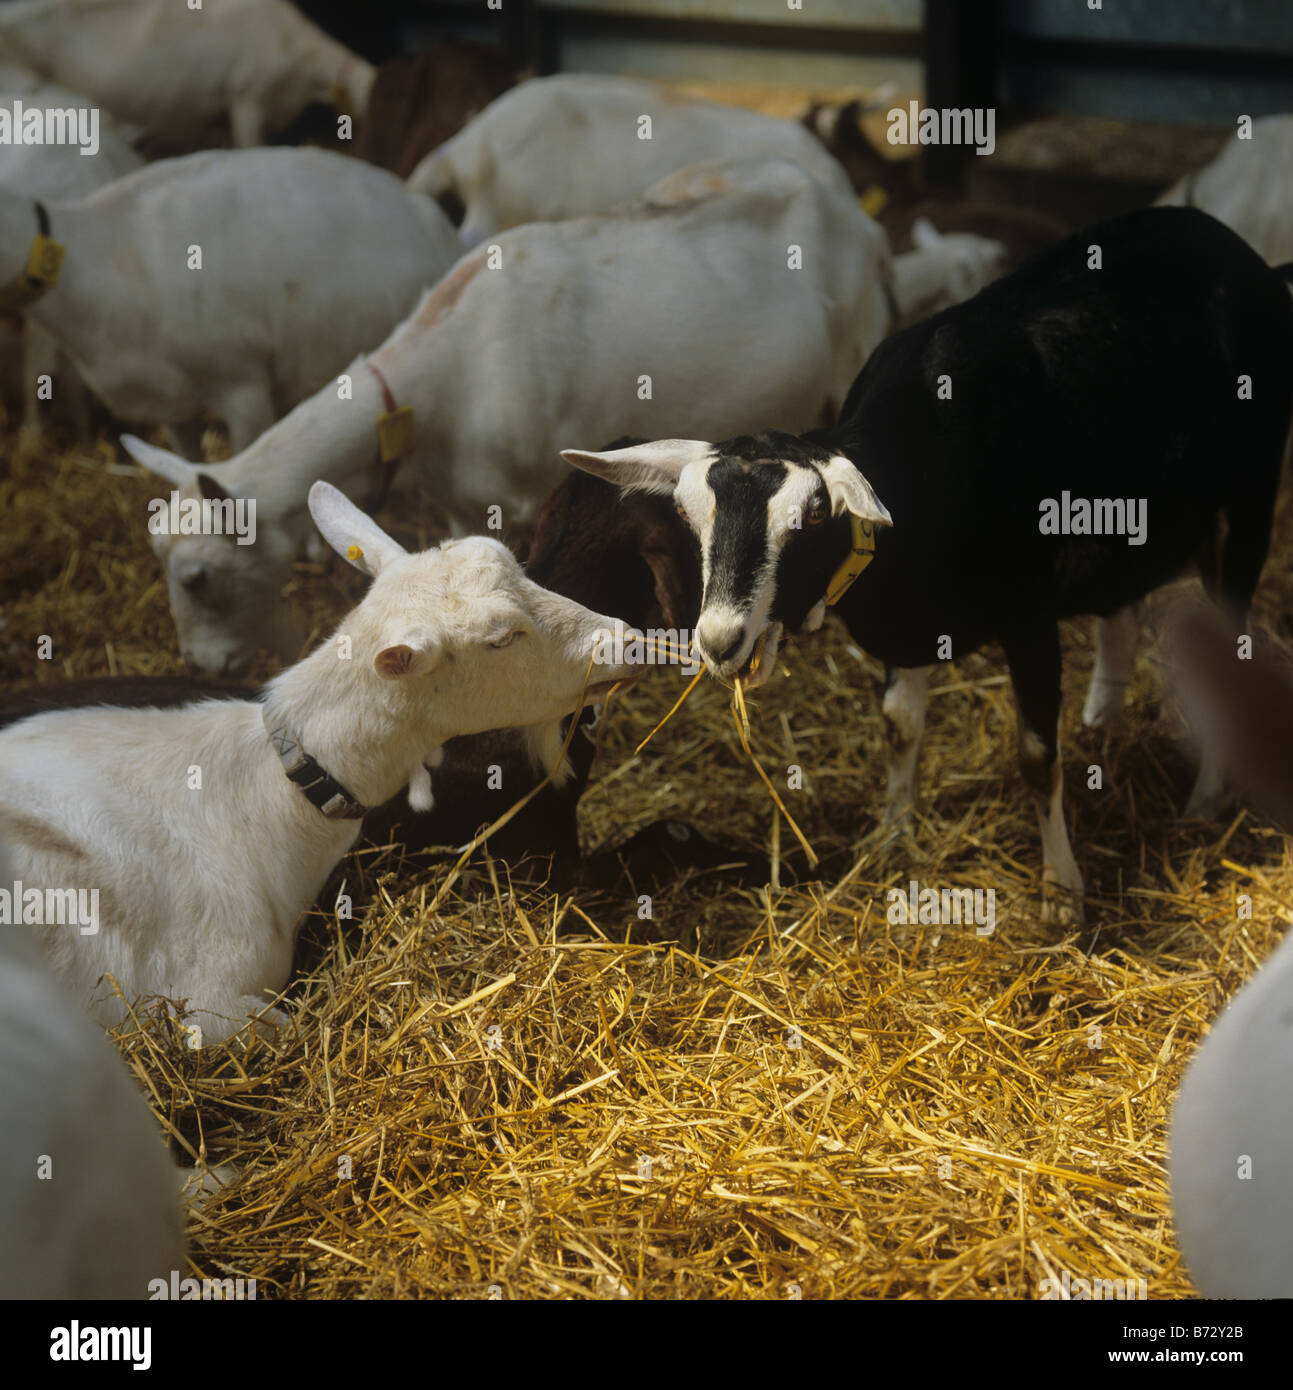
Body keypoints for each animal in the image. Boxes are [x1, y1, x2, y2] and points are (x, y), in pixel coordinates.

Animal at [564, 208, 1293, 924]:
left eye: (813, 516)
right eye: (688, 516)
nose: (719, 642)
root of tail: (1244, 256)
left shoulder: (1028, 613)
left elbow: (1036, 755)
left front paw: (1061, 891)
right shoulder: (905, 620)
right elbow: (898, 724)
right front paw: (890, 837)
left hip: (1247, 504)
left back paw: (1203, 801)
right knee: (1122, 614)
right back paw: (1102, 727)